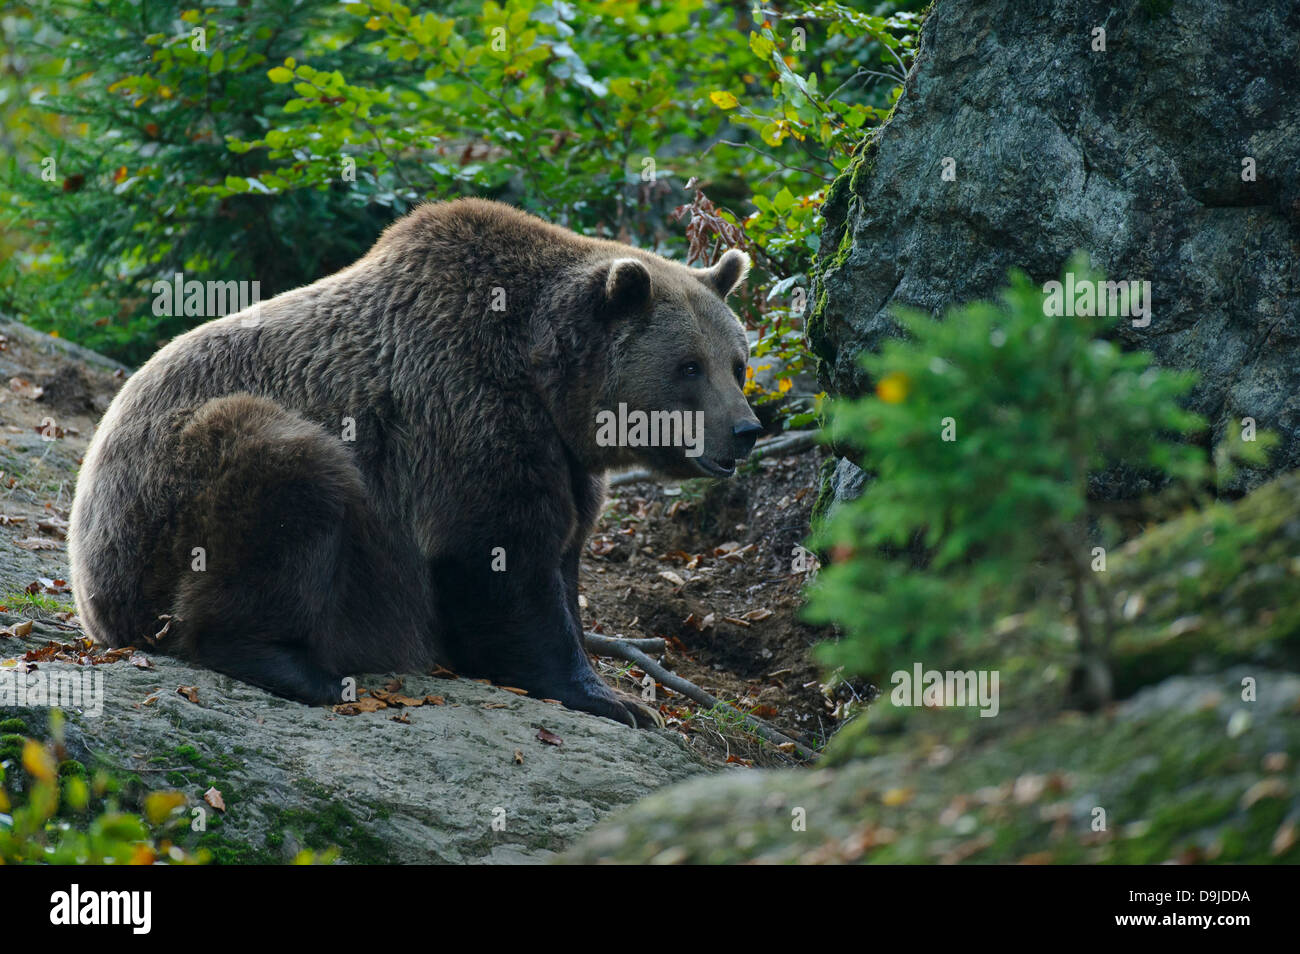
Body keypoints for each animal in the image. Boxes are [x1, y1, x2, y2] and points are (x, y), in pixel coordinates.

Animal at [67, 198, 761, 727]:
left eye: (737, 362)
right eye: (689, 366)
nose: (747, 430)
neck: (545, 379)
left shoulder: (564, 460)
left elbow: (560, 557)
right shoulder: (464, 410)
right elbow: (501, 561)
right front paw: (614, 699)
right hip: (169, 496)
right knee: (289, 478)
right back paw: (300, 667)